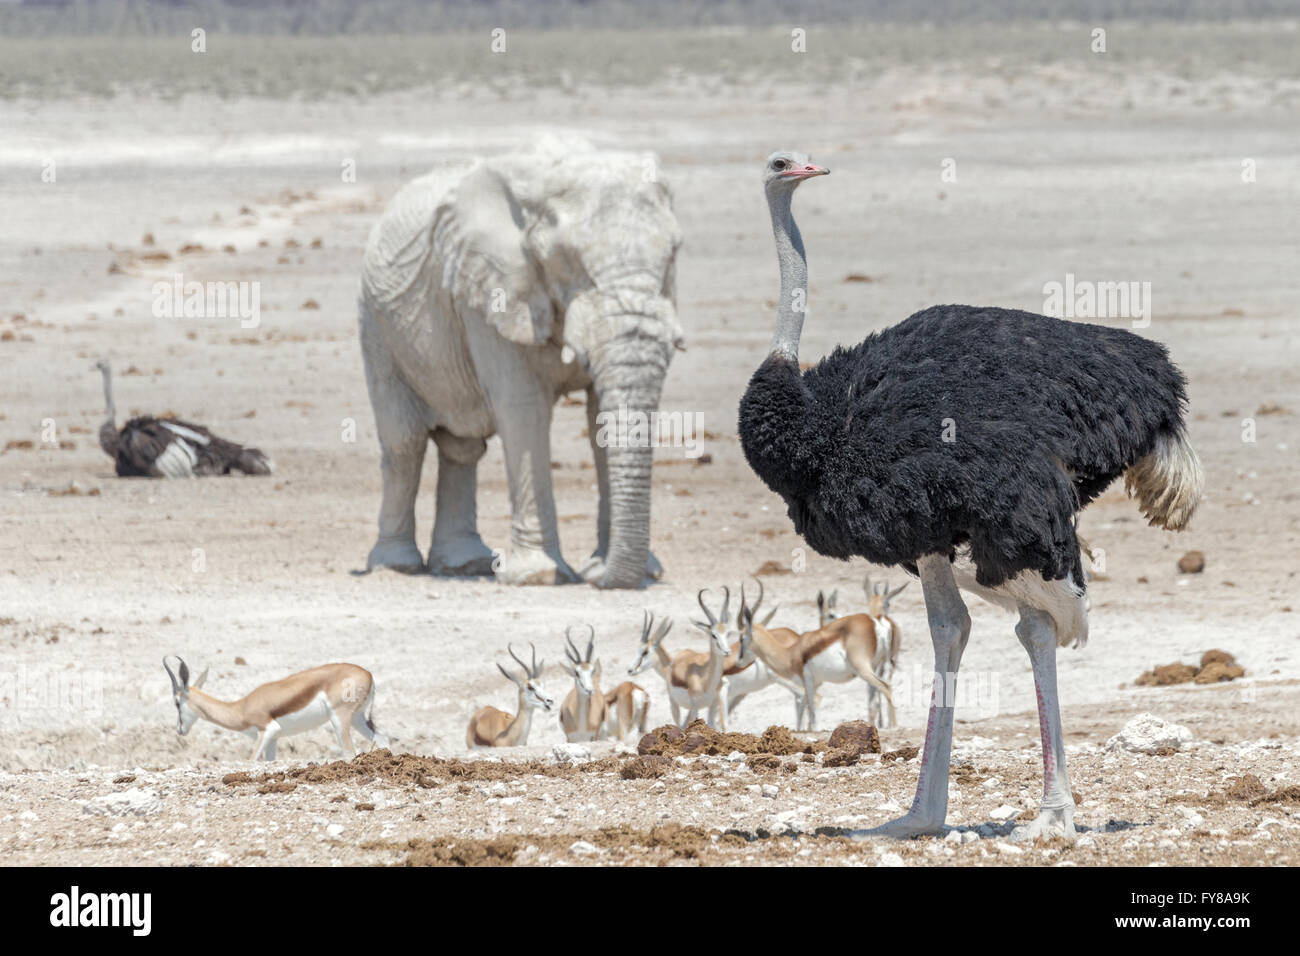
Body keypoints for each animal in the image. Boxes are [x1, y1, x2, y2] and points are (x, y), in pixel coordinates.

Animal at [358, 138, 684, 588]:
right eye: (566, 259)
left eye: (674, 253)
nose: (598, 577)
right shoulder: (491, 289)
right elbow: (523, 409)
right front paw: (539, 576)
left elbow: (599, 415)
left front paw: (619, 569)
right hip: (377, 326)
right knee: (404, 442)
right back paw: (396, 566)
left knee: (461, 447)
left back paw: (464, 565)